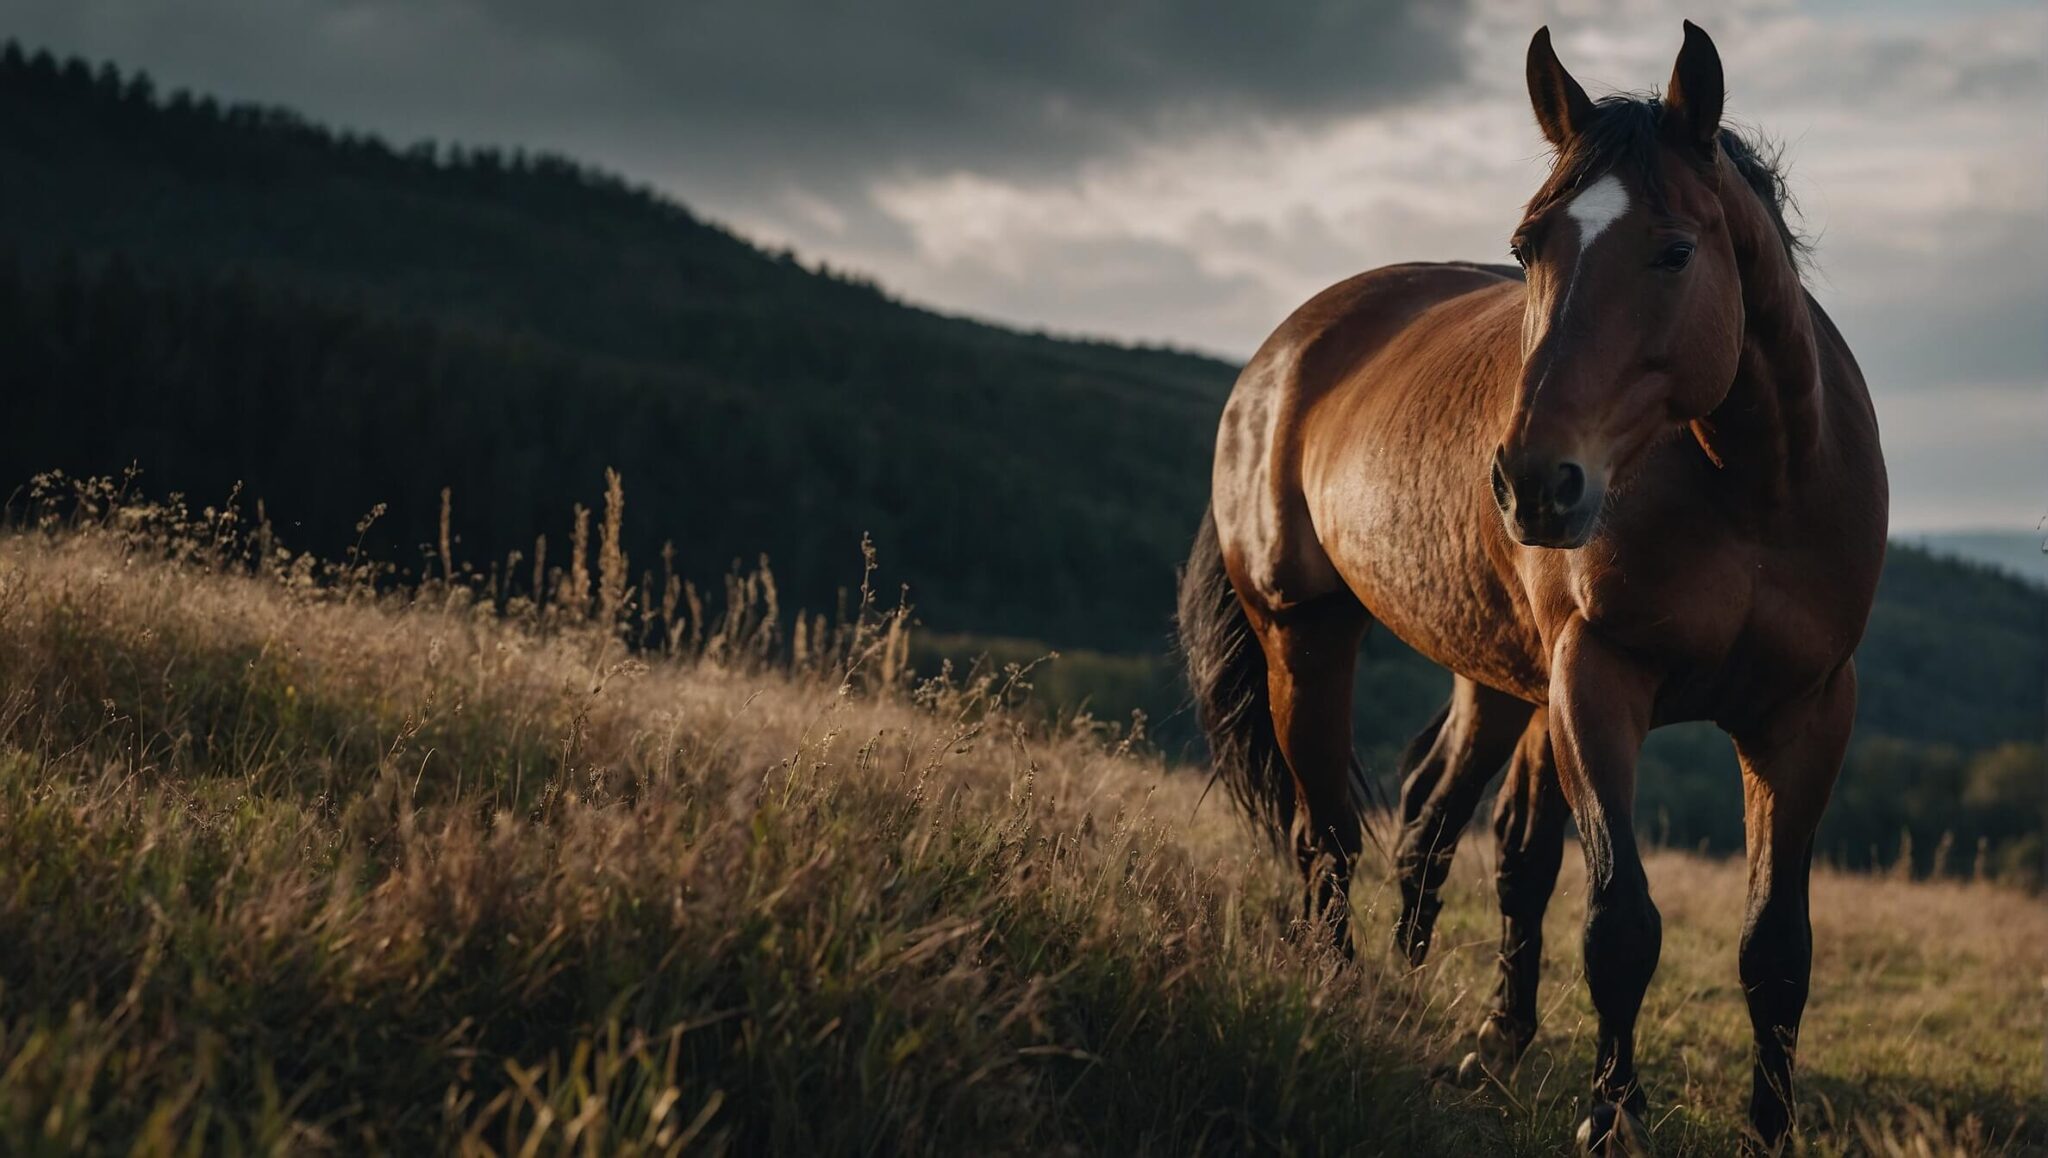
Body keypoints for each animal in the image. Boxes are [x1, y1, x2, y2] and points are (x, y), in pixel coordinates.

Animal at [1177, 21, 1886, 1155]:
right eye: (1525, 248)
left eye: (1674, 250)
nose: (1531, 483)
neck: (1755, 488)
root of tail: (1276, 359)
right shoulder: (1597, 680)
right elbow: (1618, 918)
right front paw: (1610, 1116)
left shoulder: (1805, 711)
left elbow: (1773, 946)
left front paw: (1768, 1130)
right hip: (1307, 635)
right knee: (1324, 831)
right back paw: (1339, 993)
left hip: (1501, 677)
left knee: (1444, 821)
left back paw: (1478, 1030)